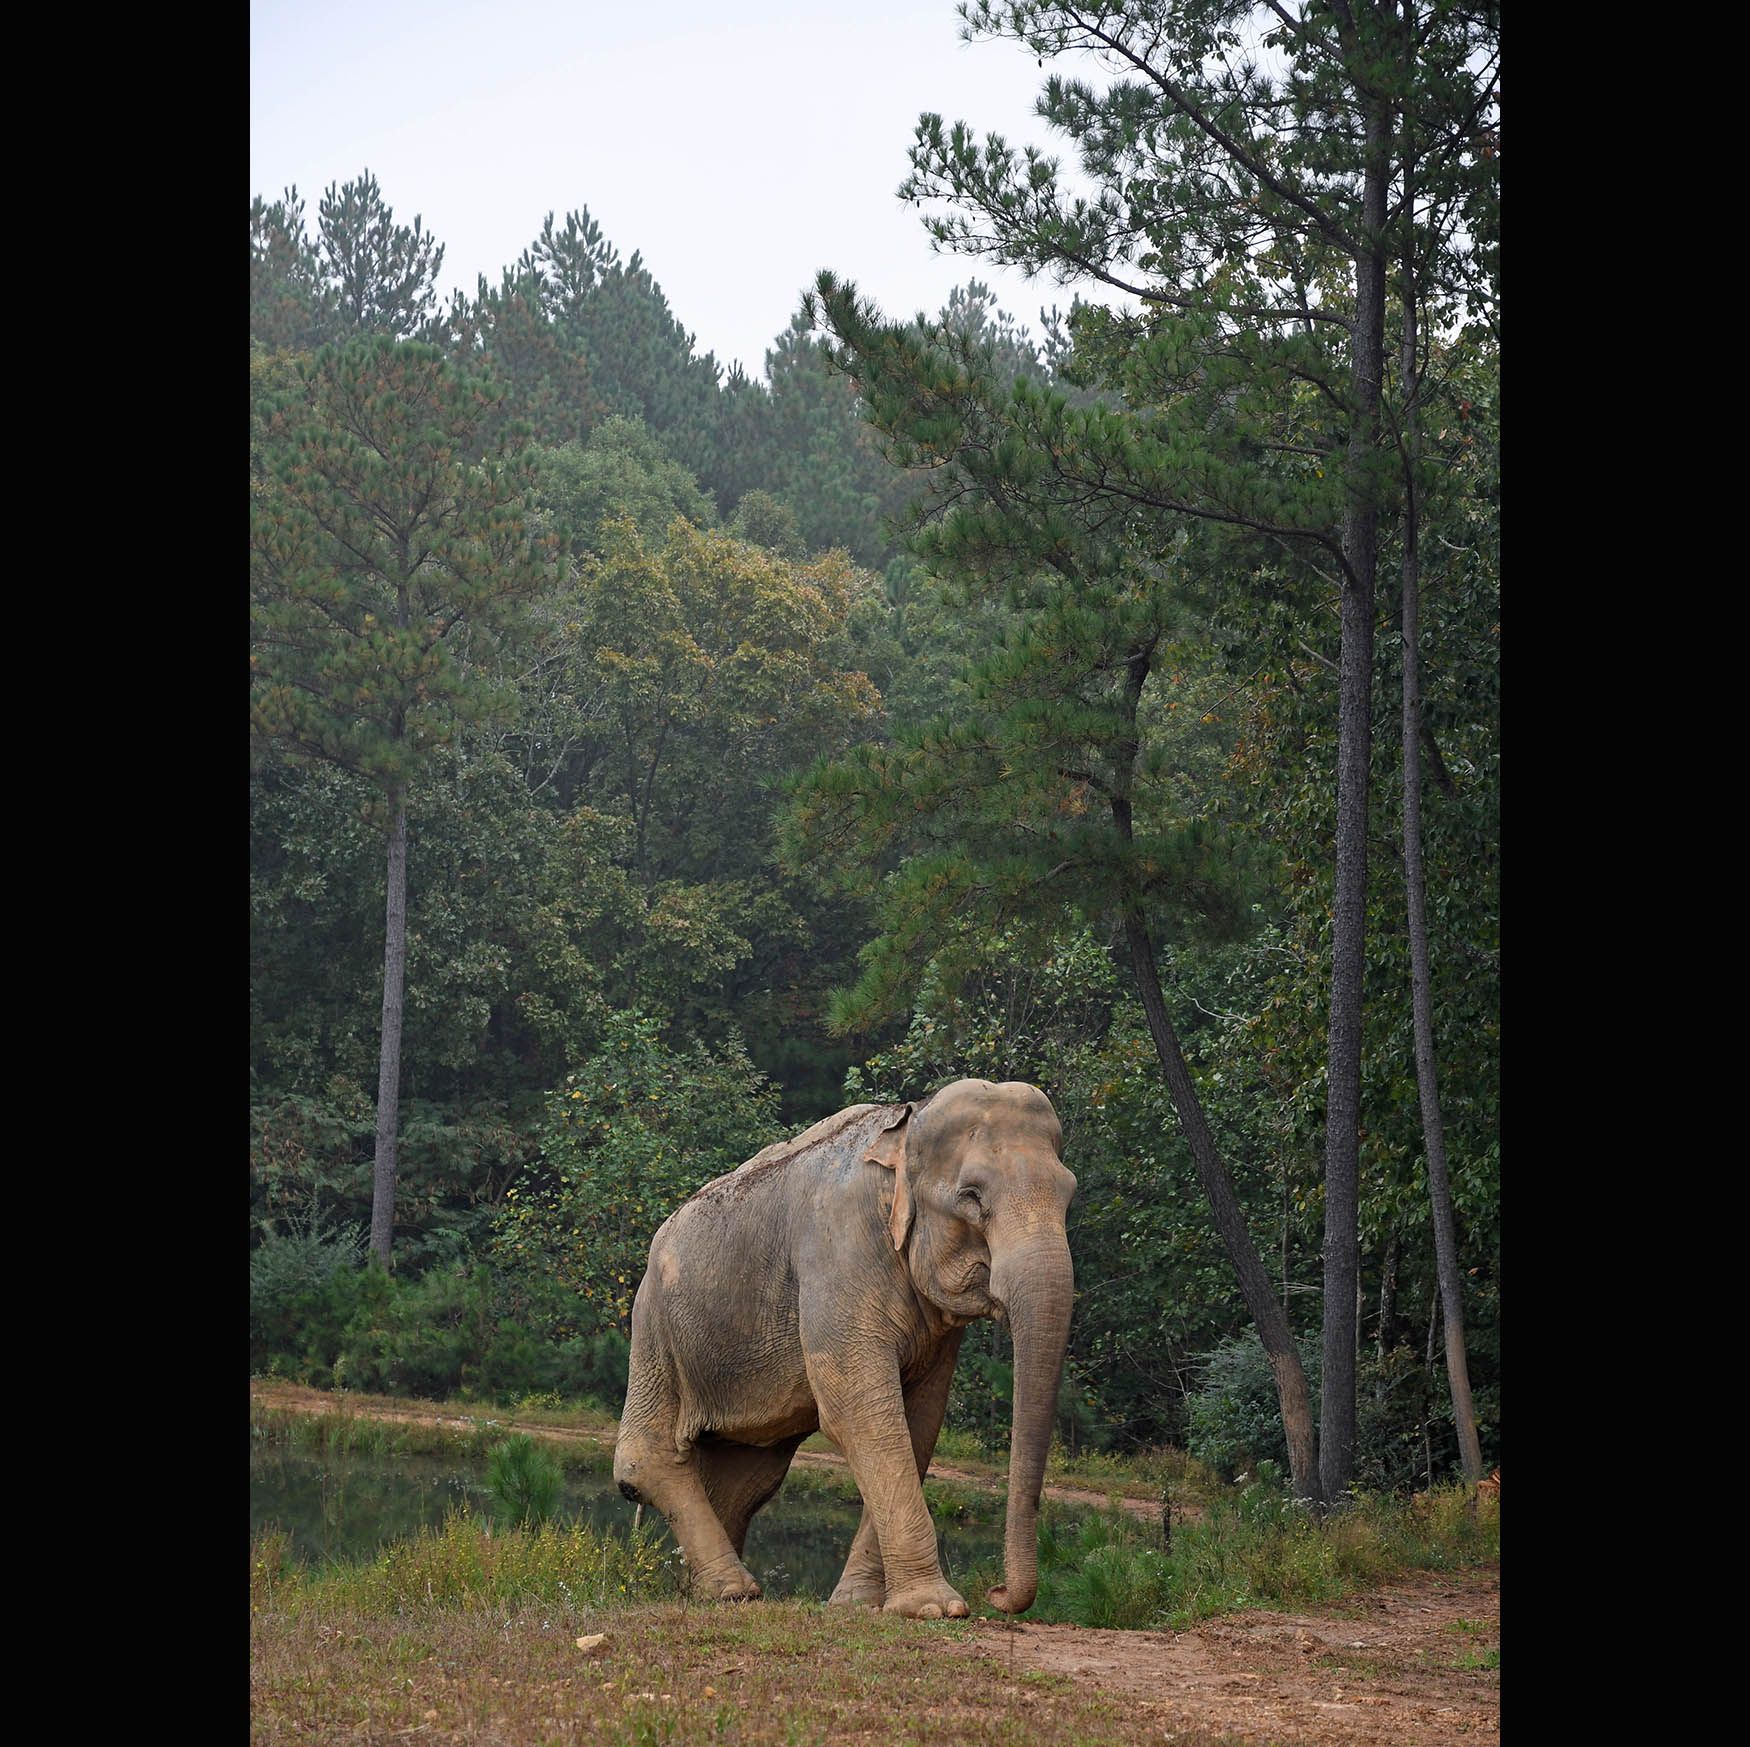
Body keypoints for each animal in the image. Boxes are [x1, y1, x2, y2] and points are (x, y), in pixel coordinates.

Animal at [612, 1078, 1076, 1619]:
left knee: (745, 1477)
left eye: (1070, 1194)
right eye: (970, 1196)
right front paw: (935, 1609)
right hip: (655, 1328)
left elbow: (918, 1422)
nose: (998, 1595)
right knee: (648, 1455)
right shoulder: (838, 1251)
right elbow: (862, 1413)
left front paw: (859, 1605)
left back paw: (705, 1591)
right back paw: (733, 1590)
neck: (907, 1127)